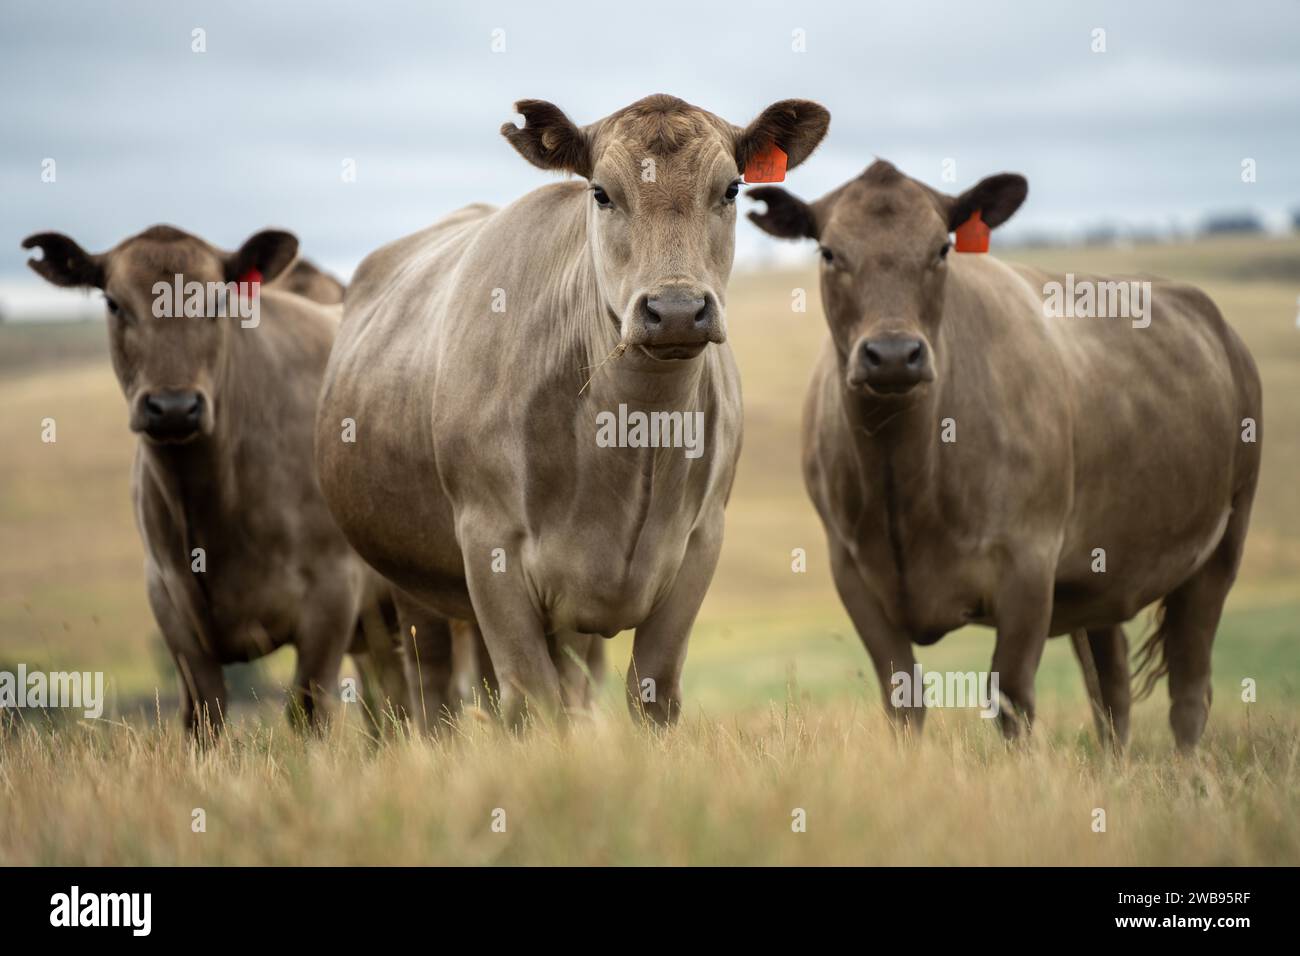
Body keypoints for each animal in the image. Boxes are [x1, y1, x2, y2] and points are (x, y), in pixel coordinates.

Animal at [21, 225, 420, 738]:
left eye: (216, 301)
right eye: (113, 303)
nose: (173, 407)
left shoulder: (333, 595)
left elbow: (308, 711)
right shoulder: (170, 604)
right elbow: (203, 716)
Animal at [316, 95, 830, 727]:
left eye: (731, 188)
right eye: (602, 193)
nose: (676, 310)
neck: (633, 439)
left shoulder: (700, 545)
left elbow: (652, 694)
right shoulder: (489, 548)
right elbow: (531, 698)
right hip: (413, 586)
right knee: (434, 696)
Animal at [747, 160, 1261, 751]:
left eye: (942, 249)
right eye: (829, 252)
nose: (894, 355)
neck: (904, 477)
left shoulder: (1027, 564)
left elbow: (1012, 699)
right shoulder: (853, 572)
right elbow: (903, 701)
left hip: (1223, 545)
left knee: (1190, 686)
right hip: (1101, 575)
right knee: (1112, 686)